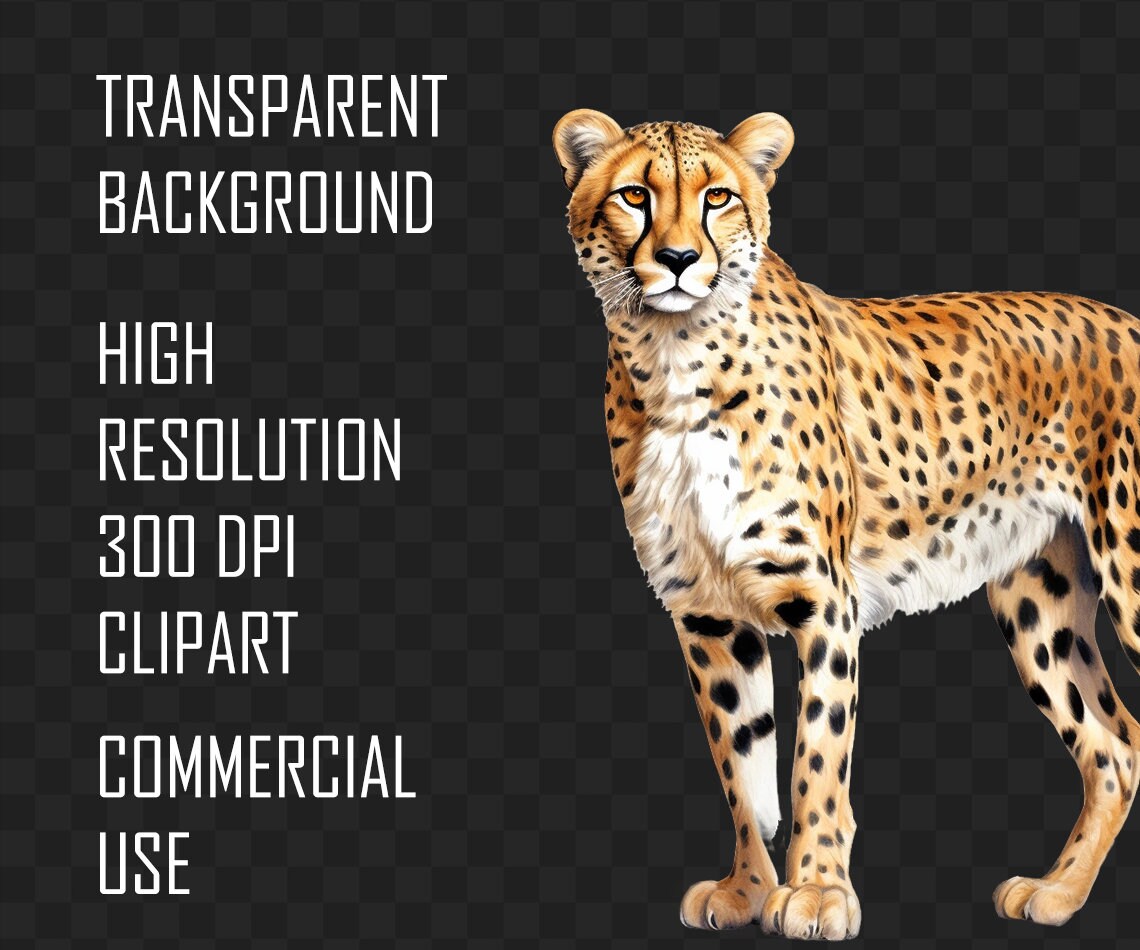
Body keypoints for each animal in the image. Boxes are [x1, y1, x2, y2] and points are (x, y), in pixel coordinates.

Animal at [553, 108, 1140, 939]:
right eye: (635, 194)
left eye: (717, 197)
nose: (677, 259)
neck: (676, 357)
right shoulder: (705, 614)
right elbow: (741, 762)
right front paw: (747, 890)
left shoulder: (823, 602)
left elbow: (817, 758)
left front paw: (819, 893)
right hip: (1040, 603)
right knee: (1116, 746)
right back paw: (1057, 892)